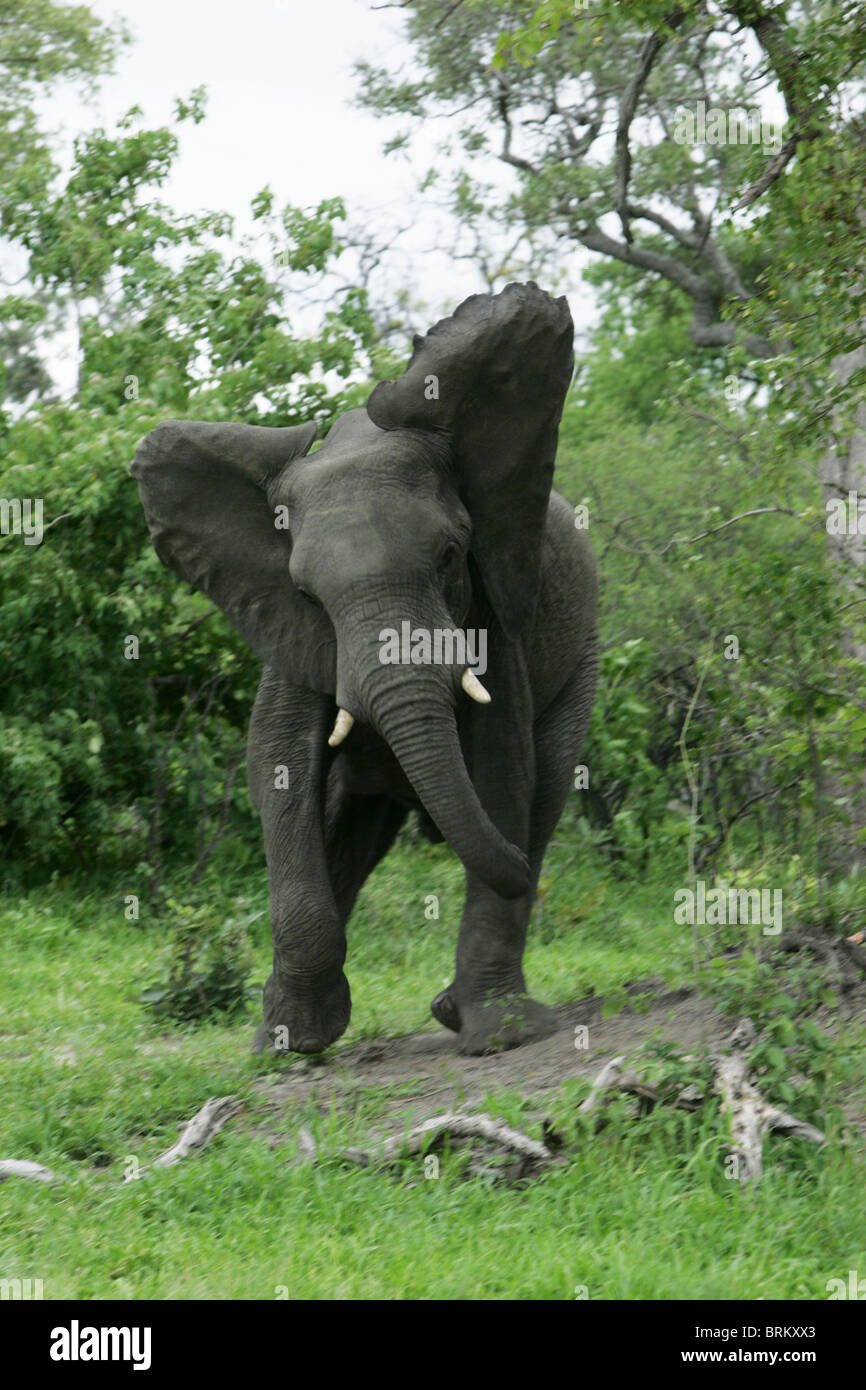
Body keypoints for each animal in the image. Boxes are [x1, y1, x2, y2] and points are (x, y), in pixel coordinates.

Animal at [131, 281, 599, 1057]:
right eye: (307, 593)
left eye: (449, 557)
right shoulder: (287, 631)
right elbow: (280, 766)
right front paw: (288, 1047)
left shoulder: (494, 614)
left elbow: (505, 769)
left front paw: (500, 1037)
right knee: (347, 828)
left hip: (582, 654)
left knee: (548, 784)